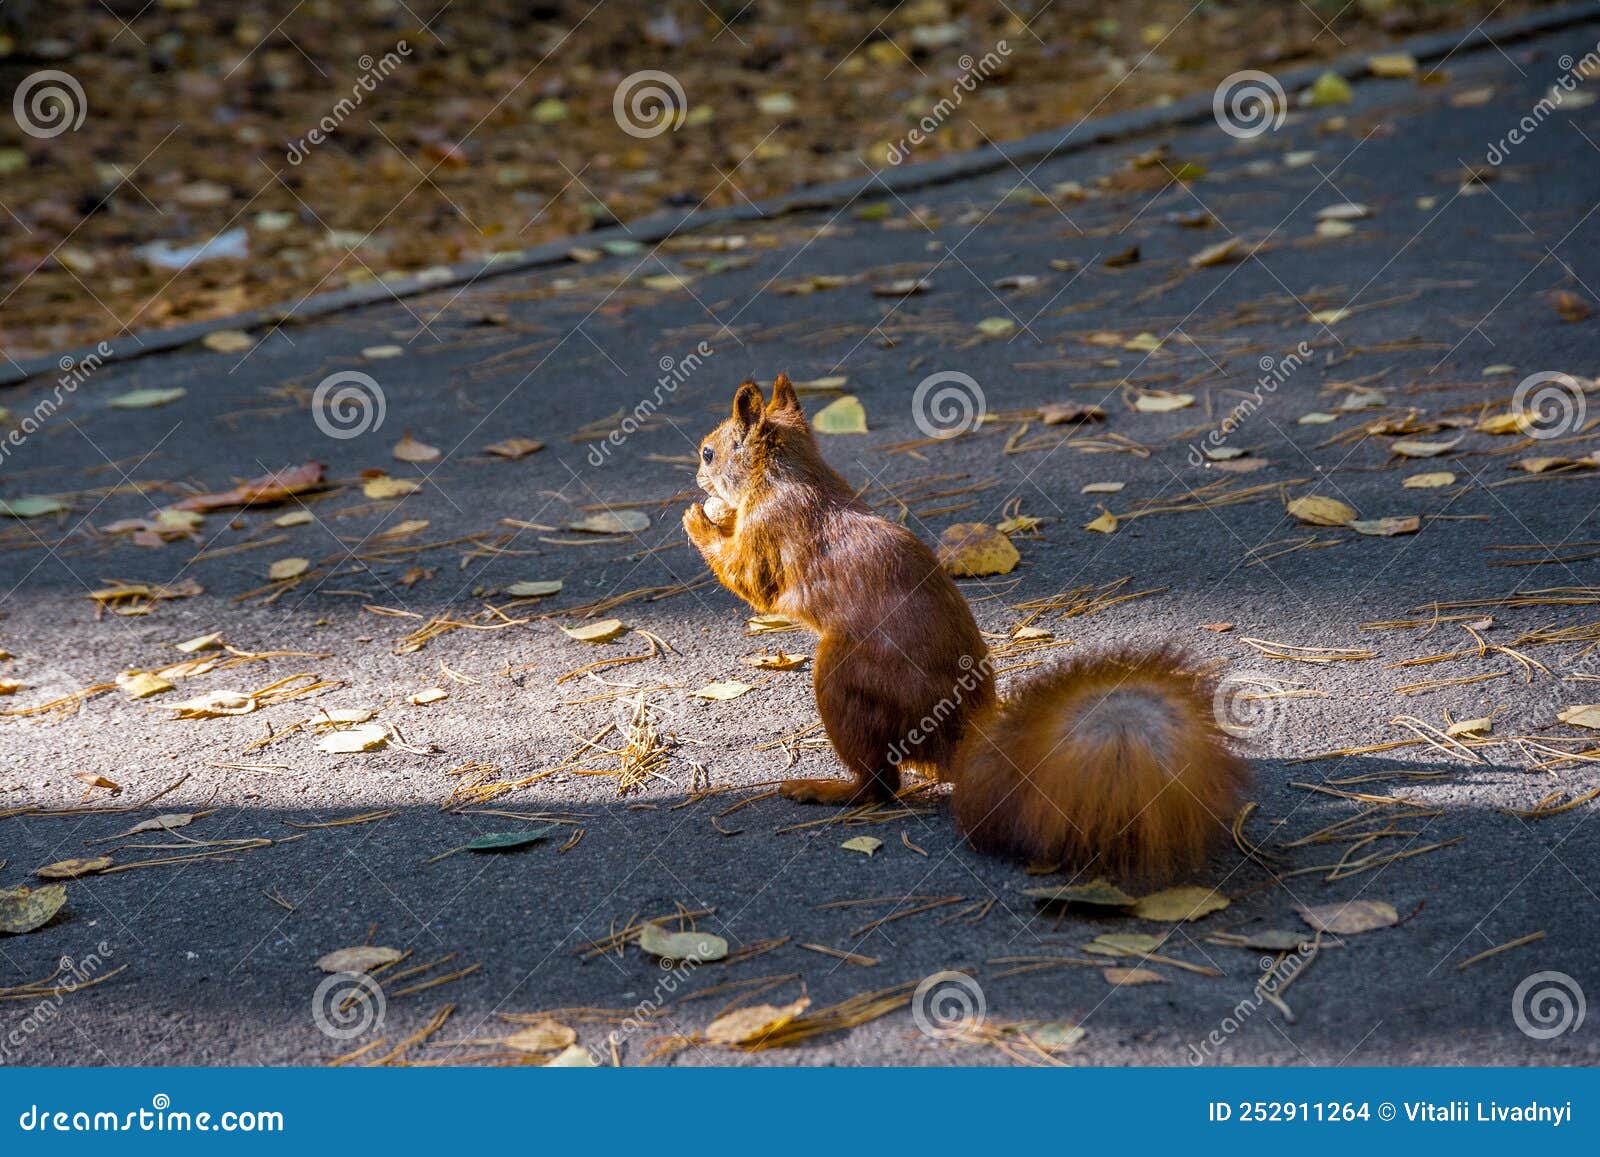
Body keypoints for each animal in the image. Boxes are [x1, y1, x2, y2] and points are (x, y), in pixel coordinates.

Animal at [683, 375, 1250, 880]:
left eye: (709, 453)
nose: (698, 477)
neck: (789, 475)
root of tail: (954, 736)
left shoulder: (772, 529)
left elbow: (750, 579)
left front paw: (700, 518)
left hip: (844, 678)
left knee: (880, 785)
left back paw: (825, 789)